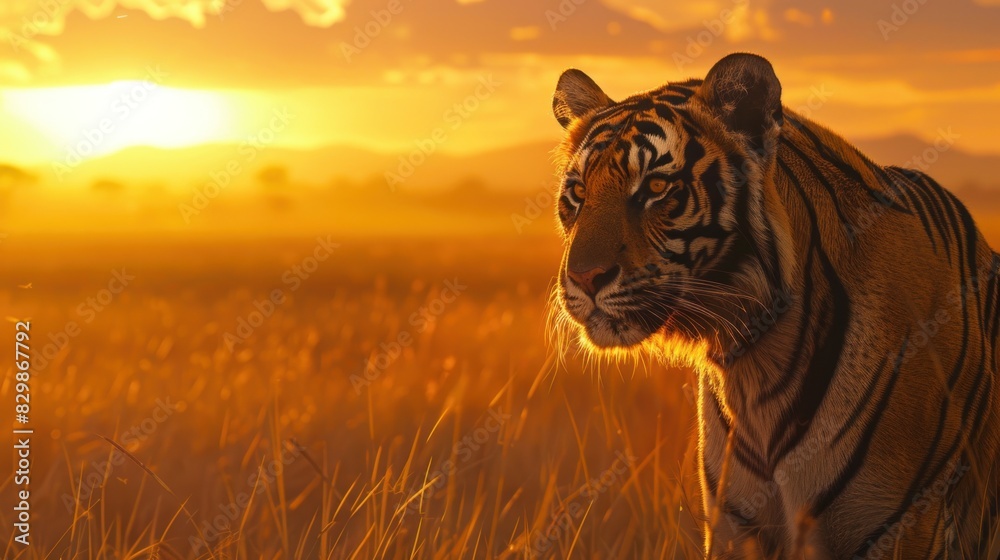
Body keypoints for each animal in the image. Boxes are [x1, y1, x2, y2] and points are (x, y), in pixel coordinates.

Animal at [548, 52, 1000, 558]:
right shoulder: (736, 524)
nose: (584, 277)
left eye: (658, 186)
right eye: (578, 192)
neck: (754, 365)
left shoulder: (901, 526)